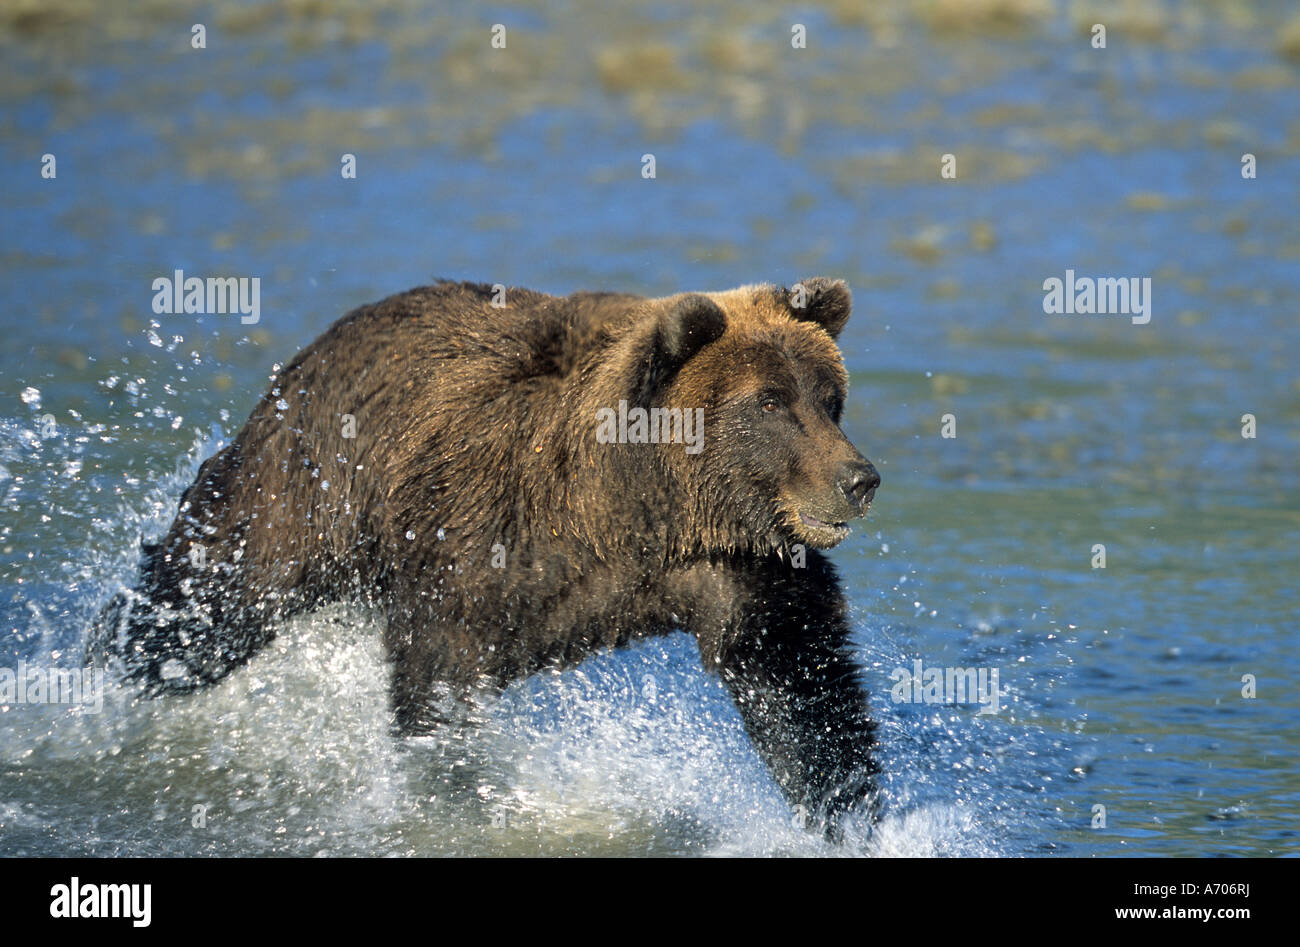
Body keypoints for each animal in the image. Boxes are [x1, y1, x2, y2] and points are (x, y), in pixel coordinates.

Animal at [89, 277, 882, 836]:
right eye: (770, 402)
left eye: (829, 397)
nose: (858, 478)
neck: (623, 510)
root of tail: (308, 355)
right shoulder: (475, 534)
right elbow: (435, 684)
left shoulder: (736, 566)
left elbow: (797, 682)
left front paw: (851, 815)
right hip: (301, 488)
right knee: (207, 603)